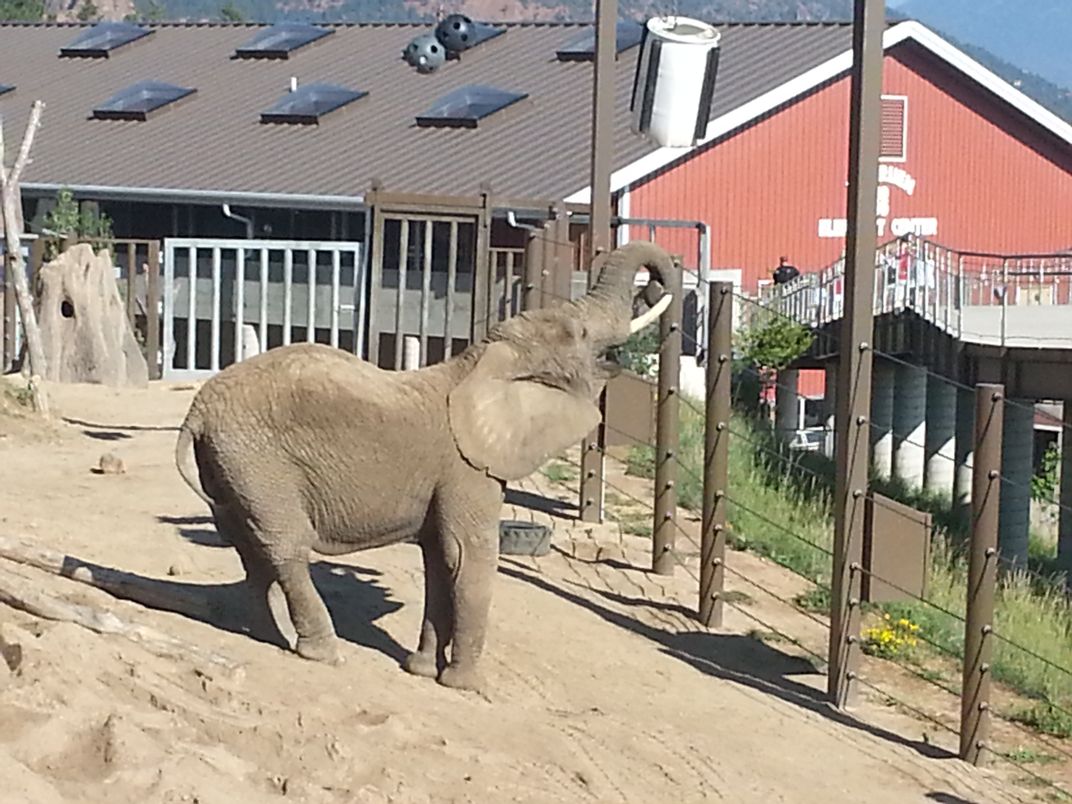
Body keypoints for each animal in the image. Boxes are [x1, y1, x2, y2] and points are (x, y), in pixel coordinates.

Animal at [173, 240, 675, 692]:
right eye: (579, 336)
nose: (654, 285)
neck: (478, 363)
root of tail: (196, 413)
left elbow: (438, 560)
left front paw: (420, 670)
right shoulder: (467, 469)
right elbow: (469, 556)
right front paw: (467, 687)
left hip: (230, 466)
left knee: (249, 546)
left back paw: (267, 635)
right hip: (257, 461)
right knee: (285, 547)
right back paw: (324, 653)